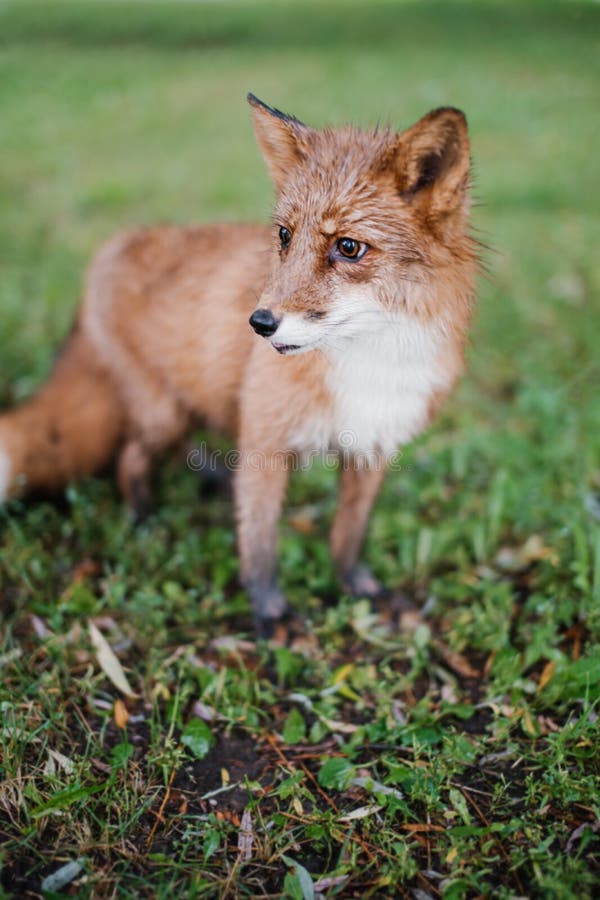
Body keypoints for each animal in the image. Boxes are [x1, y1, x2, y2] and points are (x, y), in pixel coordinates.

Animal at [0, 94, 478, 634]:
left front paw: (359, 588)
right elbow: (261, 542)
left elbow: (348, 536)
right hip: (162, 414)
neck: (369, 362)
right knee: (130, 458)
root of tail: (115, 245)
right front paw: (271, 615)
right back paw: (145, 520)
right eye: (285, 236)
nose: (259, 323)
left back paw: (210, 480)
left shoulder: (372, 443)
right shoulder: (267, 442)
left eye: (348, 247)